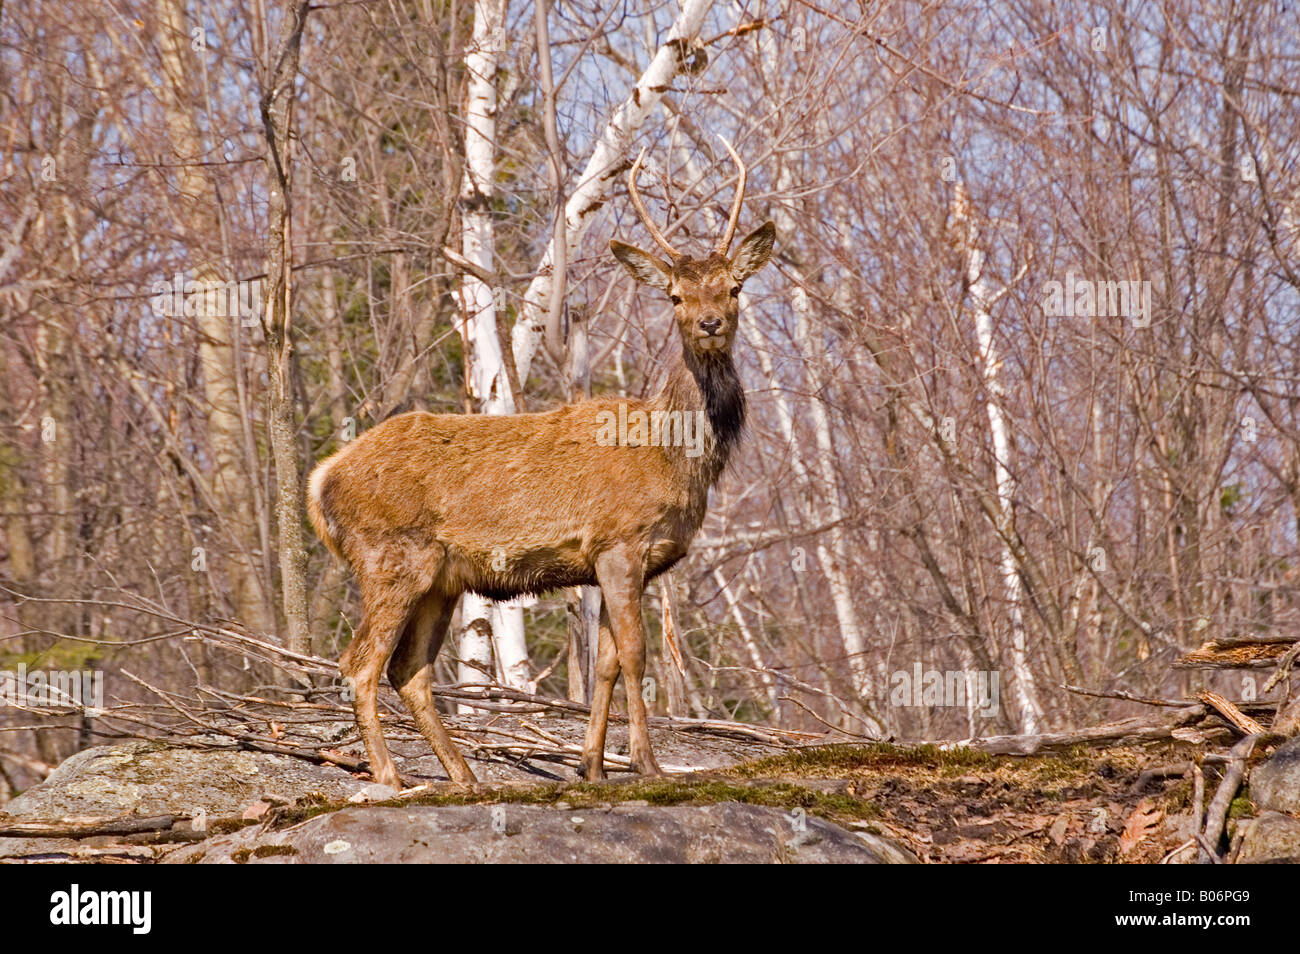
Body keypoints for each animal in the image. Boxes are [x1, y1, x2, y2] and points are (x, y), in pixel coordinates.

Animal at [306, 140, 775, 788]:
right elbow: (637, 657)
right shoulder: (620, 542)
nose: (710, 324)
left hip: (438, 578)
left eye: (734, 288)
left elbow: (605, 663)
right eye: (675, 296)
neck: (674, 456)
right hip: (388, 555)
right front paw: (648, 764)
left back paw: (464, 777)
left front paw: (592, 767)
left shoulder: (615, 561)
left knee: (410, 670)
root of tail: (320, 479)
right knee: (358, 663)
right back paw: (391, 777)